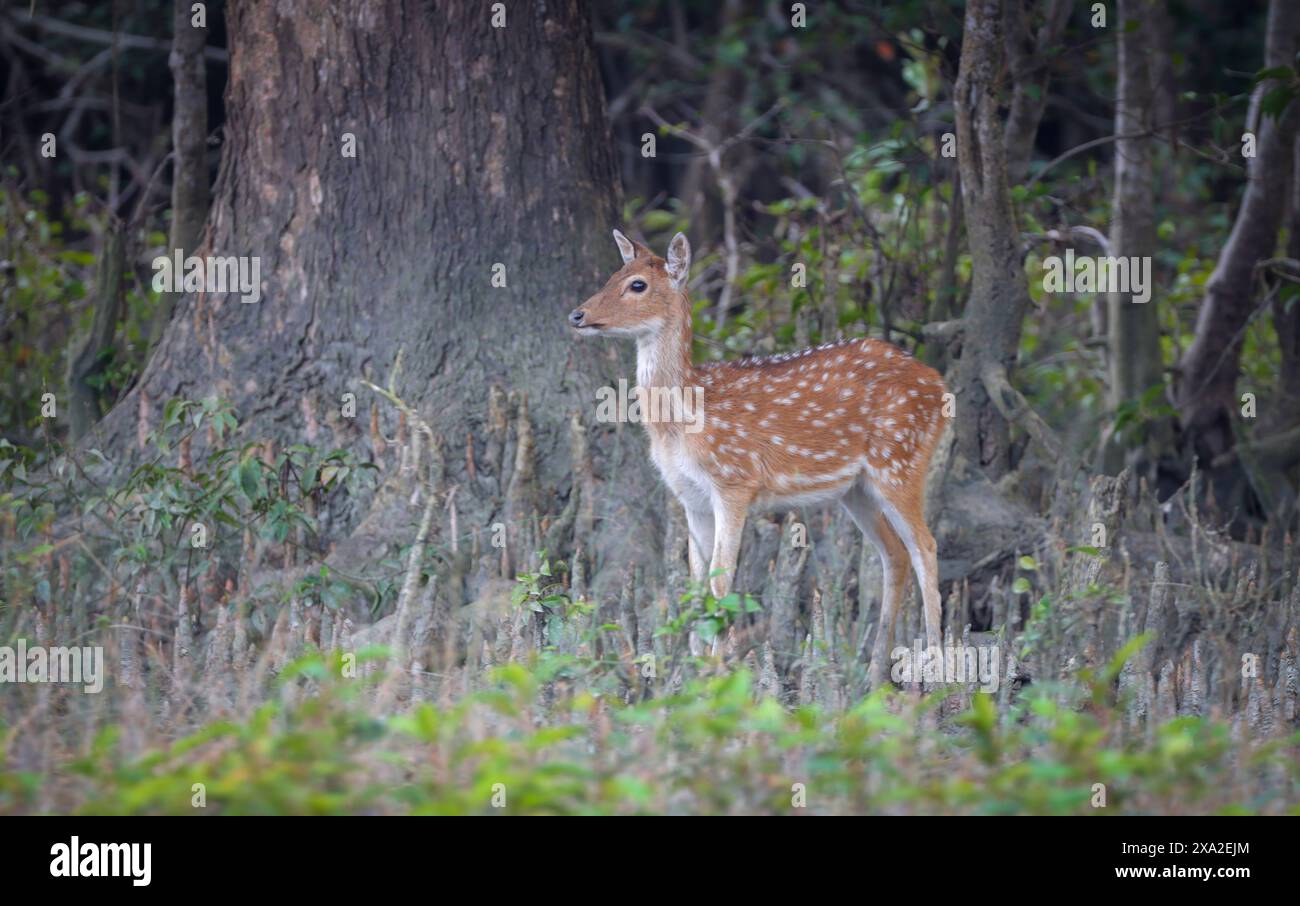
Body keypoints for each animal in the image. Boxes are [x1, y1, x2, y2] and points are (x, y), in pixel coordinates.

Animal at [569, 230, 949, 685]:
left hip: (901, 459)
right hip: (856, 488)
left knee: (925, 546)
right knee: (894, 554)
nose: (577, 314)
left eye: (637, 284)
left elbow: (722, 582)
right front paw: (692, 672)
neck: (684, 419)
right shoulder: (690, 497)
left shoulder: (735, 480)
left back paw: (936, 670)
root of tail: (940, 385)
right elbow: (695, 584)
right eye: (614, 274)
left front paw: (717, 671)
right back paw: (874, 674)